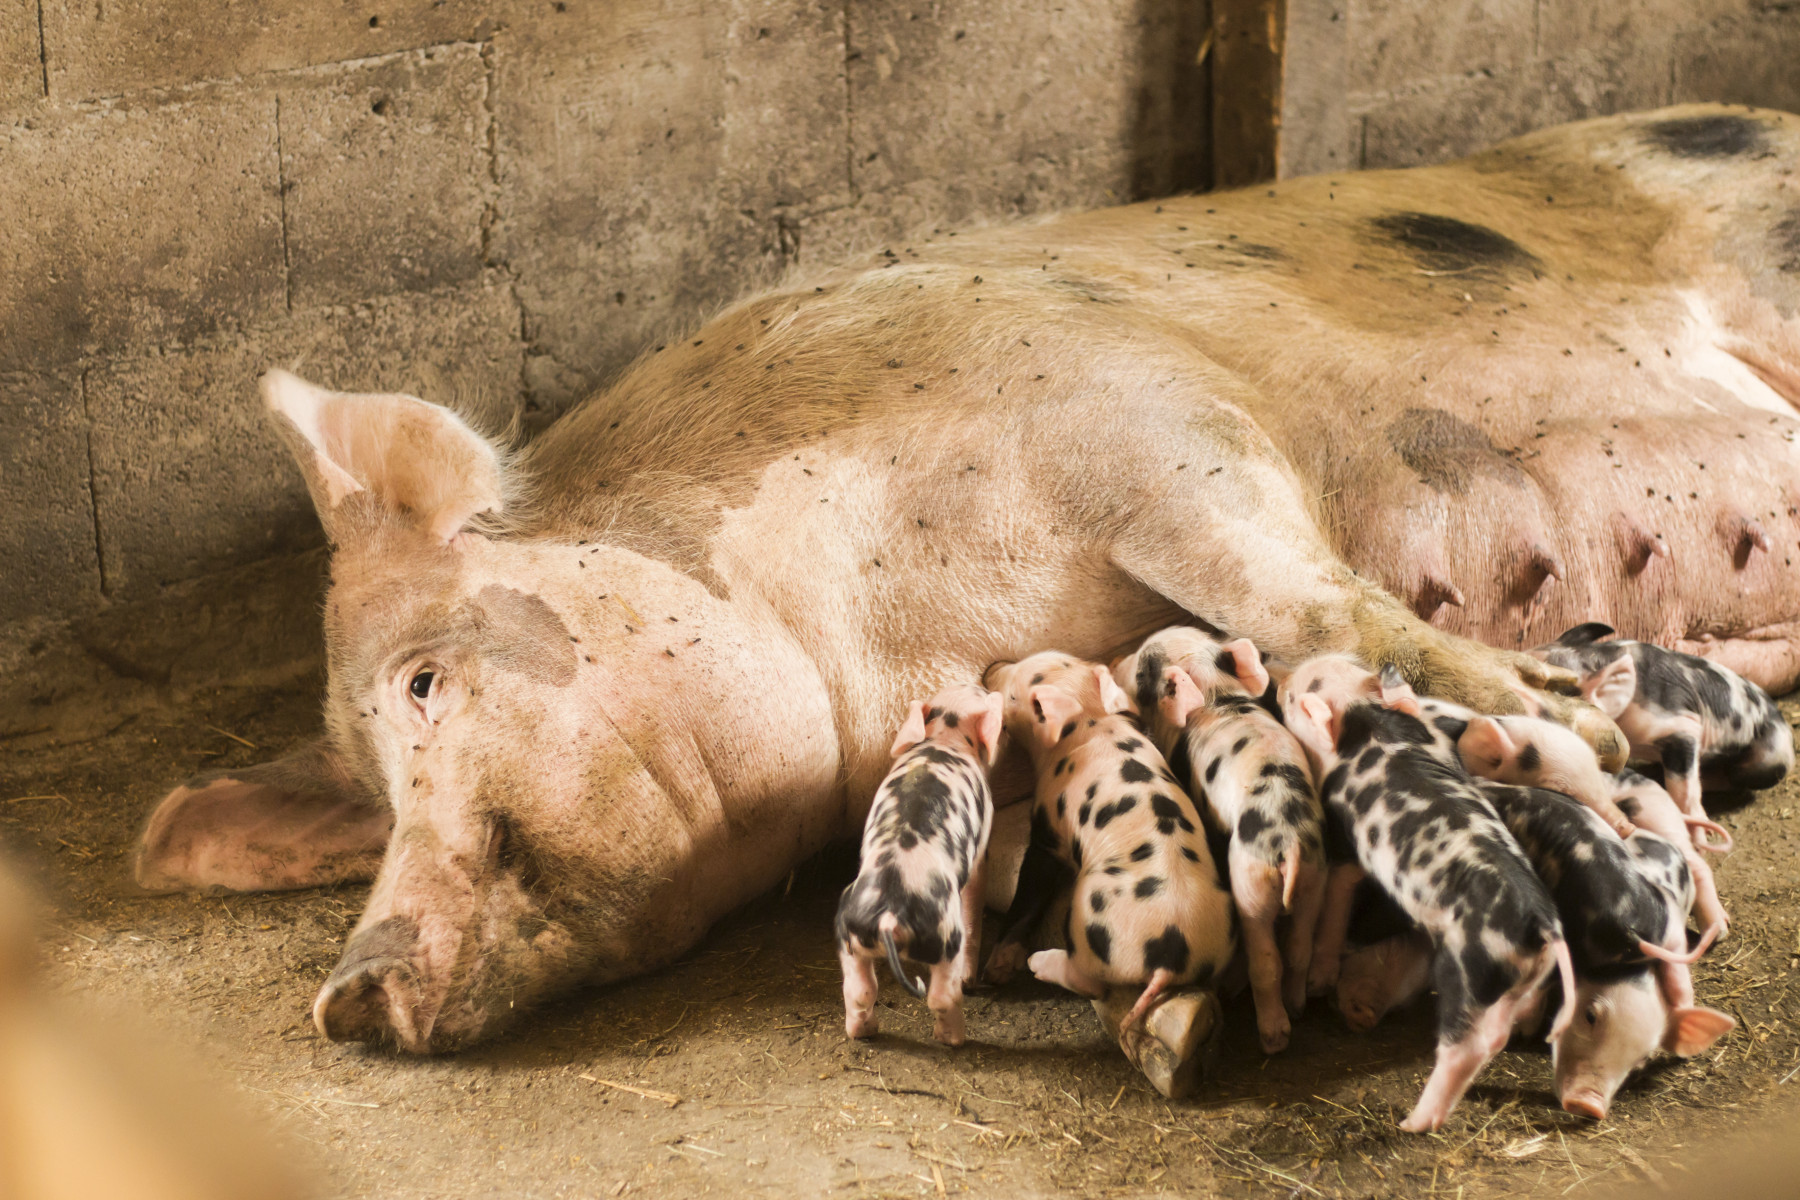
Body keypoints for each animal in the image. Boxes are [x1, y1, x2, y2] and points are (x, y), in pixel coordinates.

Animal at [837, 683, 1002, 1046]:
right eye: (979, 694)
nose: (981, 685)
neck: (944, 738)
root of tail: (889, 914)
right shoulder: (981, 850)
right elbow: (976, 895)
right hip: (945, 936)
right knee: (941, 995)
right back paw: (953, 1038)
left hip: (847, 931)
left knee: (859, 990)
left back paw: (864, 1032)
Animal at [986, 652, 1237, 1032]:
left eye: (1014, 695)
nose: (990, 669)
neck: (1091, 721)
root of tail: (1169, 958)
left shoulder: (1048, 834)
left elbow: (1028, 894)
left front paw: (994, 969)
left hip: (1088, 910)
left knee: (1091, 982)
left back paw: (1038, 963)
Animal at [1113, 626, 1326, 1053]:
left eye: (1143, 673)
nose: (1114, 663)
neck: (1216, 694)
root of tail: (1291, 844)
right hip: (1315, 879)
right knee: (1299, 948)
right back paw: (1297, 1007)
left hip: (1251, 885)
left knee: (1268, 961)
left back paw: (1273, 1037)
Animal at [1281, 655, 1575, 1132]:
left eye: (1294, 698)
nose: (1280, 681)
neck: (1374, 727)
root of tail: (1542, 927)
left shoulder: (1345, 840)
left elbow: (1338, 894)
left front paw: (1317, 982)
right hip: (1528, 977)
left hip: (1470, 974)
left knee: (1472, 1043)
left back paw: (1413, 1123)